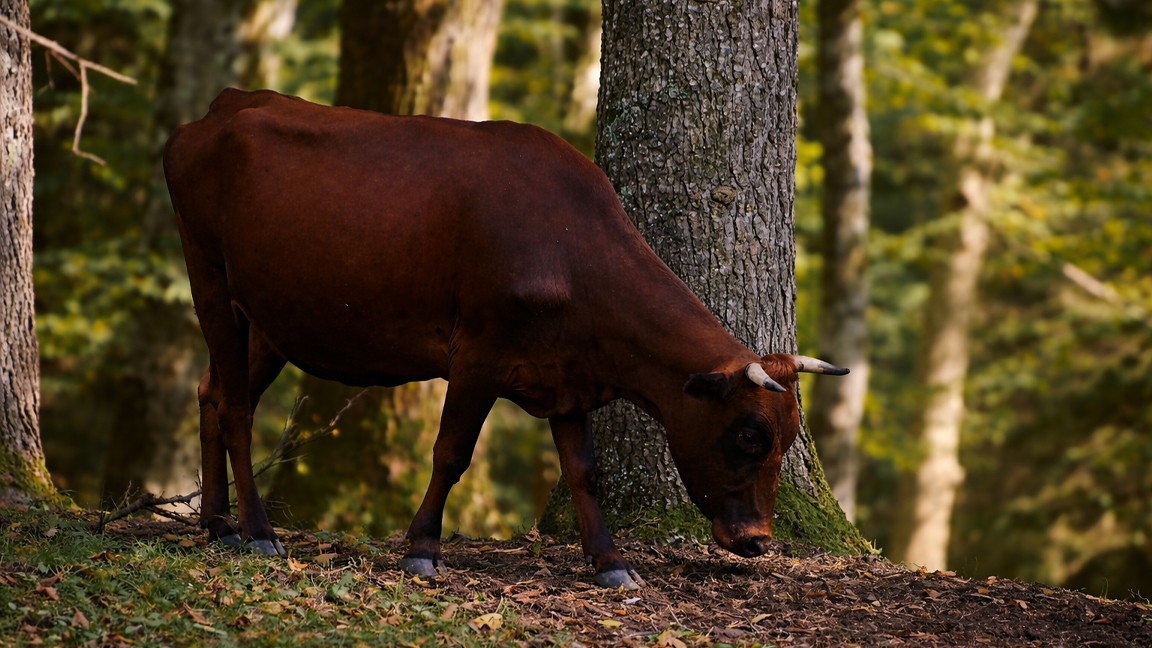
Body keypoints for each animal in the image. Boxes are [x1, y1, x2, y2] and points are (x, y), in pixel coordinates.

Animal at [164, 89, 848, 590]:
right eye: (750, 434)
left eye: (792, 435)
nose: (756, 539)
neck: (570, 248)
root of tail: (225, 105)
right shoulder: (478, 354)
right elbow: (450, 452)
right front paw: (421, 548)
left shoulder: (567, 376)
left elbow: (584, 472)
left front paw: (611, 562)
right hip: (208, 274)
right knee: (235, 405)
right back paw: (256, 531)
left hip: (269, 317)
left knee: (210, 390)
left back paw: (216, 521)